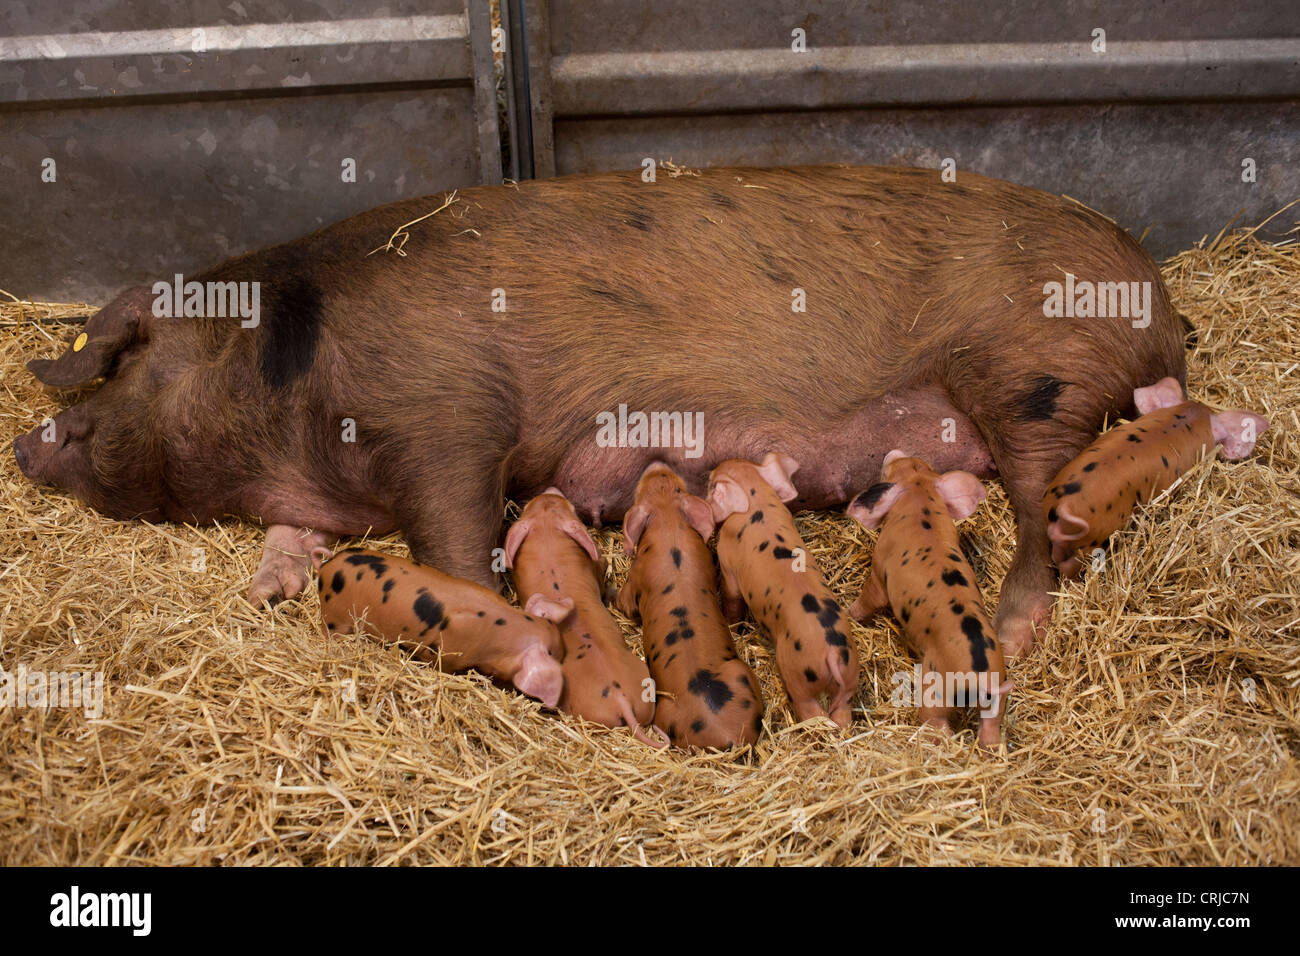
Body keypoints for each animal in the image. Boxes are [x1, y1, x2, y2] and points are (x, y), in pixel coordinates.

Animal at [15, 165, 1190, 655]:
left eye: (116, 365)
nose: (26, 440)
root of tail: (1157, 295)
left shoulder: (443, 414)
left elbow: (454, 535)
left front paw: (481, 606)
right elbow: (295, 537)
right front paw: (270, 586)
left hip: (1034, 371)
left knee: (1047, 505)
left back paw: (1017, 626)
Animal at [616, 463, 763, 749]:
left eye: (641, 493)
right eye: (677, 488)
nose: (657, 466)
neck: (668, 523)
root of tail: (727, 736)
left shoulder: (635, 579)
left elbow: (625, 601)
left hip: (664, 709)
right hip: (740, 671)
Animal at [706, 454, 860, 727]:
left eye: (713, 481)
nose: (709, 471)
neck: (756, 499)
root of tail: (832, 653)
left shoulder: (728, 567)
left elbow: (733, 599)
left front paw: (733, 626)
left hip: (797, 674)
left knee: (811, 711)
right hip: (850, 677)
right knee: (842, 715)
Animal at [846, 451, 1011, 748]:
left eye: (891, 472)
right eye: (921, 465)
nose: (896, 453)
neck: (919, 499)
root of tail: (979, 675)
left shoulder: (880, 572)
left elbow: (870, 598)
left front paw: (849, 612)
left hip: (937, 689)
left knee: (936, 722)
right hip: (997, 691)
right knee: (990, 728)